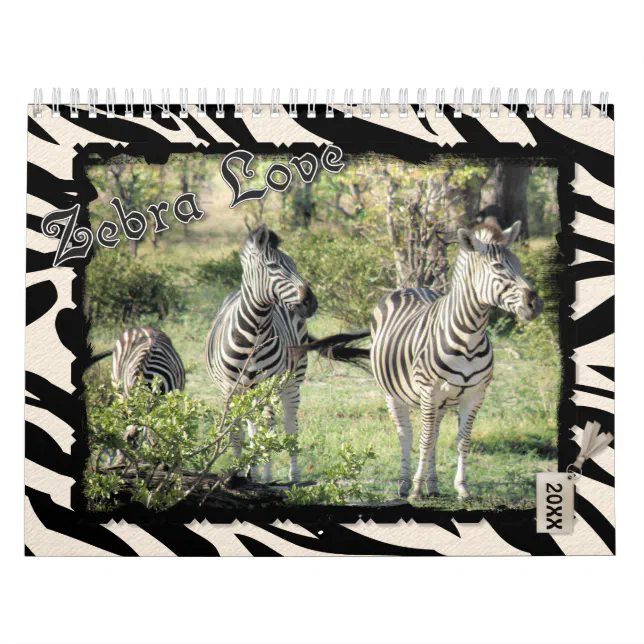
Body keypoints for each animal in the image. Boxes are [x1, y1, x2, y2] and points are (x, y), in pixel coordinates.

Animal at [205, 224, 319, 484]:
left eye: (295, 265)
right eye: (273, 266)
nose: (311, 303)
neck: (253, 335)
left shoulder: (268, 386)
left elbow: (267, 430)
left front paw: (266, 476)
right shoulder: (229, 390)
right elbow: (237, 432)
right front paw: (238, 473)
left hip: (291, 381)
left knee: (289, 424)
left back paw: (293, 475)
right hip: (248, 390)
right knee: (252, 424)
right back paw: (252, 470)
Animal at [296, 220, 544, 499]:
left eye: (519, 264)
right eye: (498, 266)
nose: (536, 304)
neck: (470, 337)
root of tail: (409, 286)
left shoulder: (475, 394)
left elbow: (462, 441)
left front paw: (462, 488)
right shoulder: (429, 390)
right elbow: (425, 440)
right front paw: (416, 487)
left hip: (443, 401)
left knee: (434, 432)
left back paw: (433, 485)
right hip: (394, 394)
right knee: (406, 435)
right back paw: (405, 484)